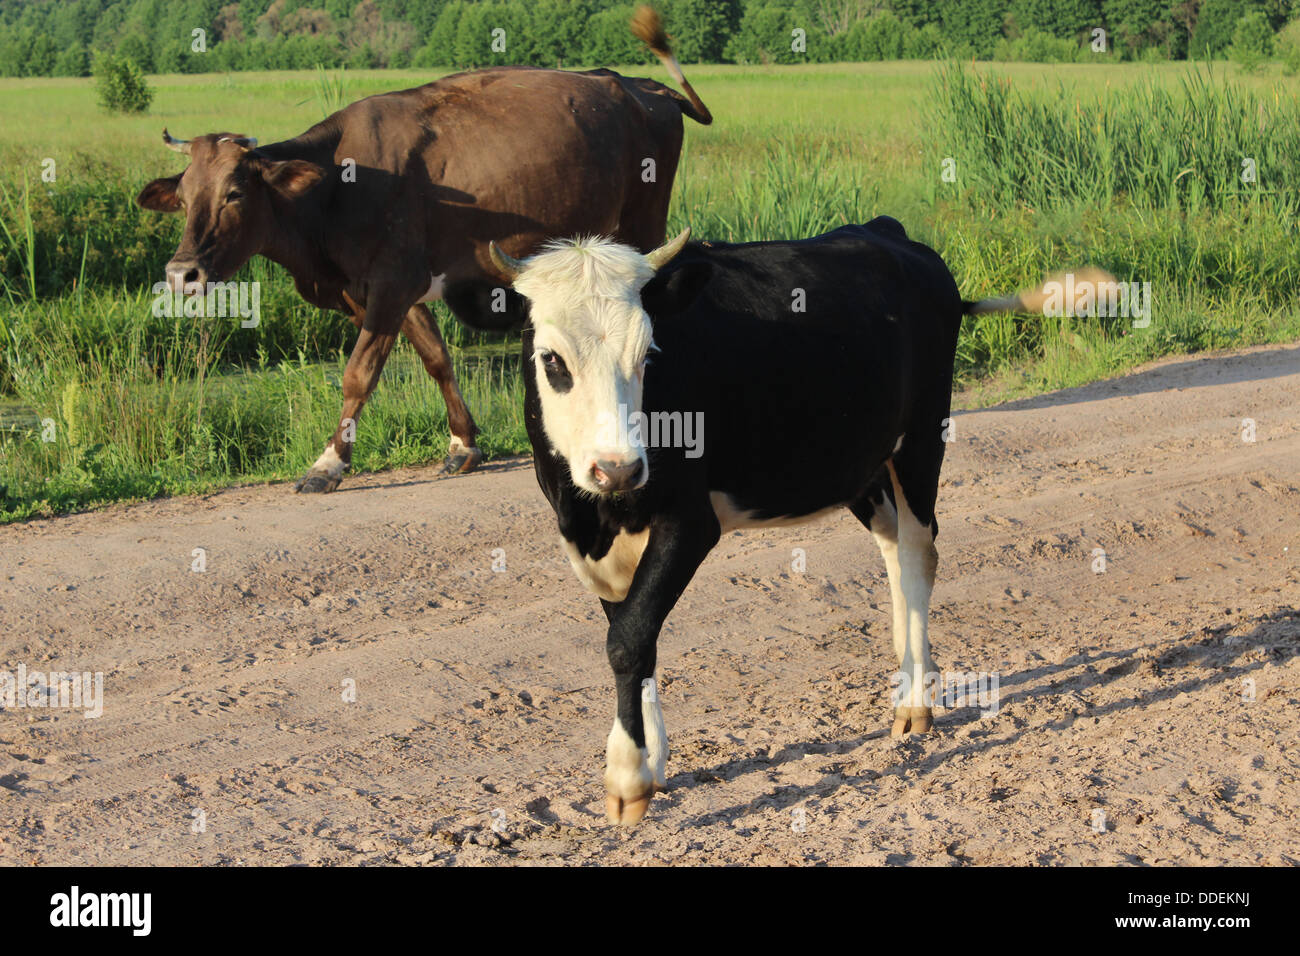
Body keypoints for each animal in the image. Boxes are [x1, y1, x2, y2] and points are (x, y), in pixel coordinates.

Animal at [135, 7, 710, 493]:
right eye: (183, 196)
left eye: (234, 193)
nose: (182, 273)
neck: (335, 188)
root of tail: (639, 84)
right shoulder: (390, 289)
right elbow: (436, 358)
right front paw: (463, 444)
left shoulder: (393, 282)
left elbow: (358, 374)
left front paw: (329, 464)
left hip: (641, 228)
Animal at [489, 219, 1071, 825]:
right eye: (552, 360)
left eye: (648, 354)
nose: (620, 468)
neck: (596, 512)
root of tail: (886, 231)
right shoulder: (586, 538)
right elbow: (632, 628)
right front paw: (652, 760)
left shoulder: (689, 521)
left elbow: (627, 638)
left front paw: (628, 777)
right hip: (861, 463)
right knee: (893, 548)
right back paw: (910, 672)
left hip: (922, 438)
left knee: (917, 552)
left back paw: (914, 703)